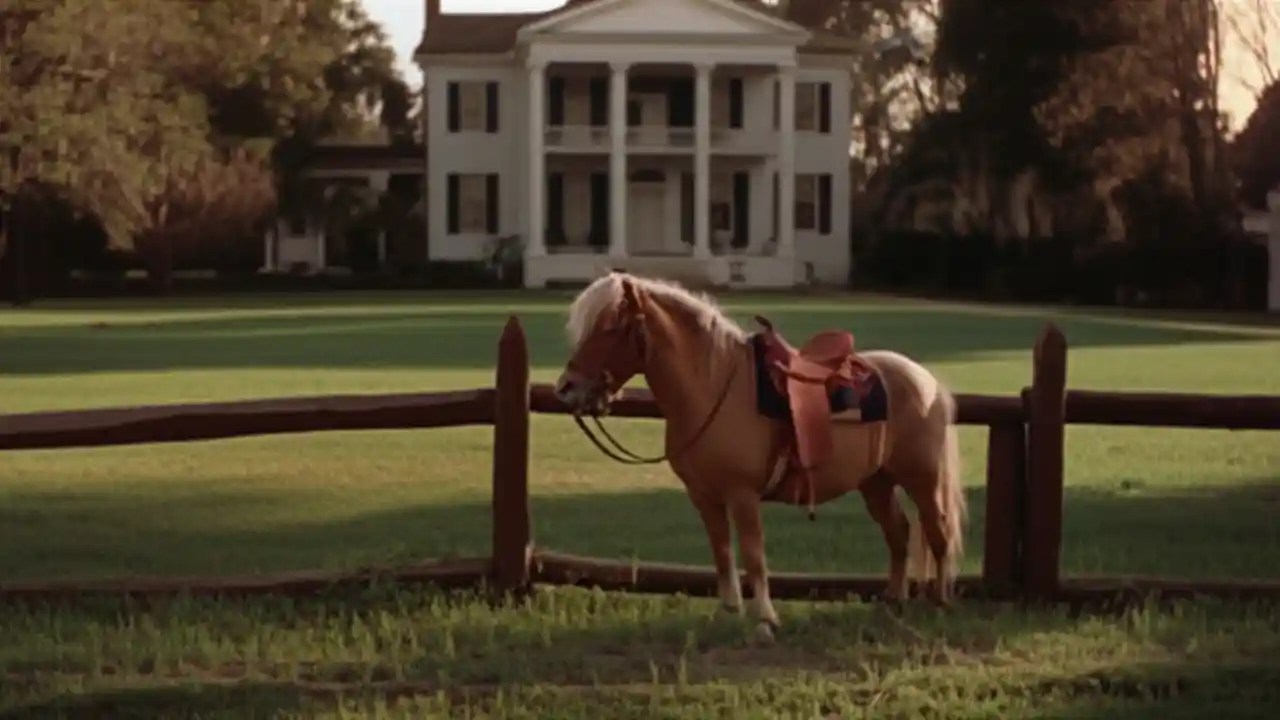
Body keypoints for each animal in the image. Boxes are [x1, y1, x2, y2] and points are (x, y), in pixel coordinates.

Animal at [553, 271, 966, 639]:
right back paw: (893, 601)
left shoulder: (743, 495)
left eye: (610, 327)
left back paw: (941, 603)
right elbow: (722, 552)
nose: (566, 388)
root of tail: (928, 382)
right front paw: (728, 612)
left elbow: (753, 554)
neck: (714, 387)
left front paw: (765, 620)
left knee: (939, 532)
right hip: (875, 483)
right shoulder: (704, 497)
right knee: (898, 532)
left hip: (922, 480)